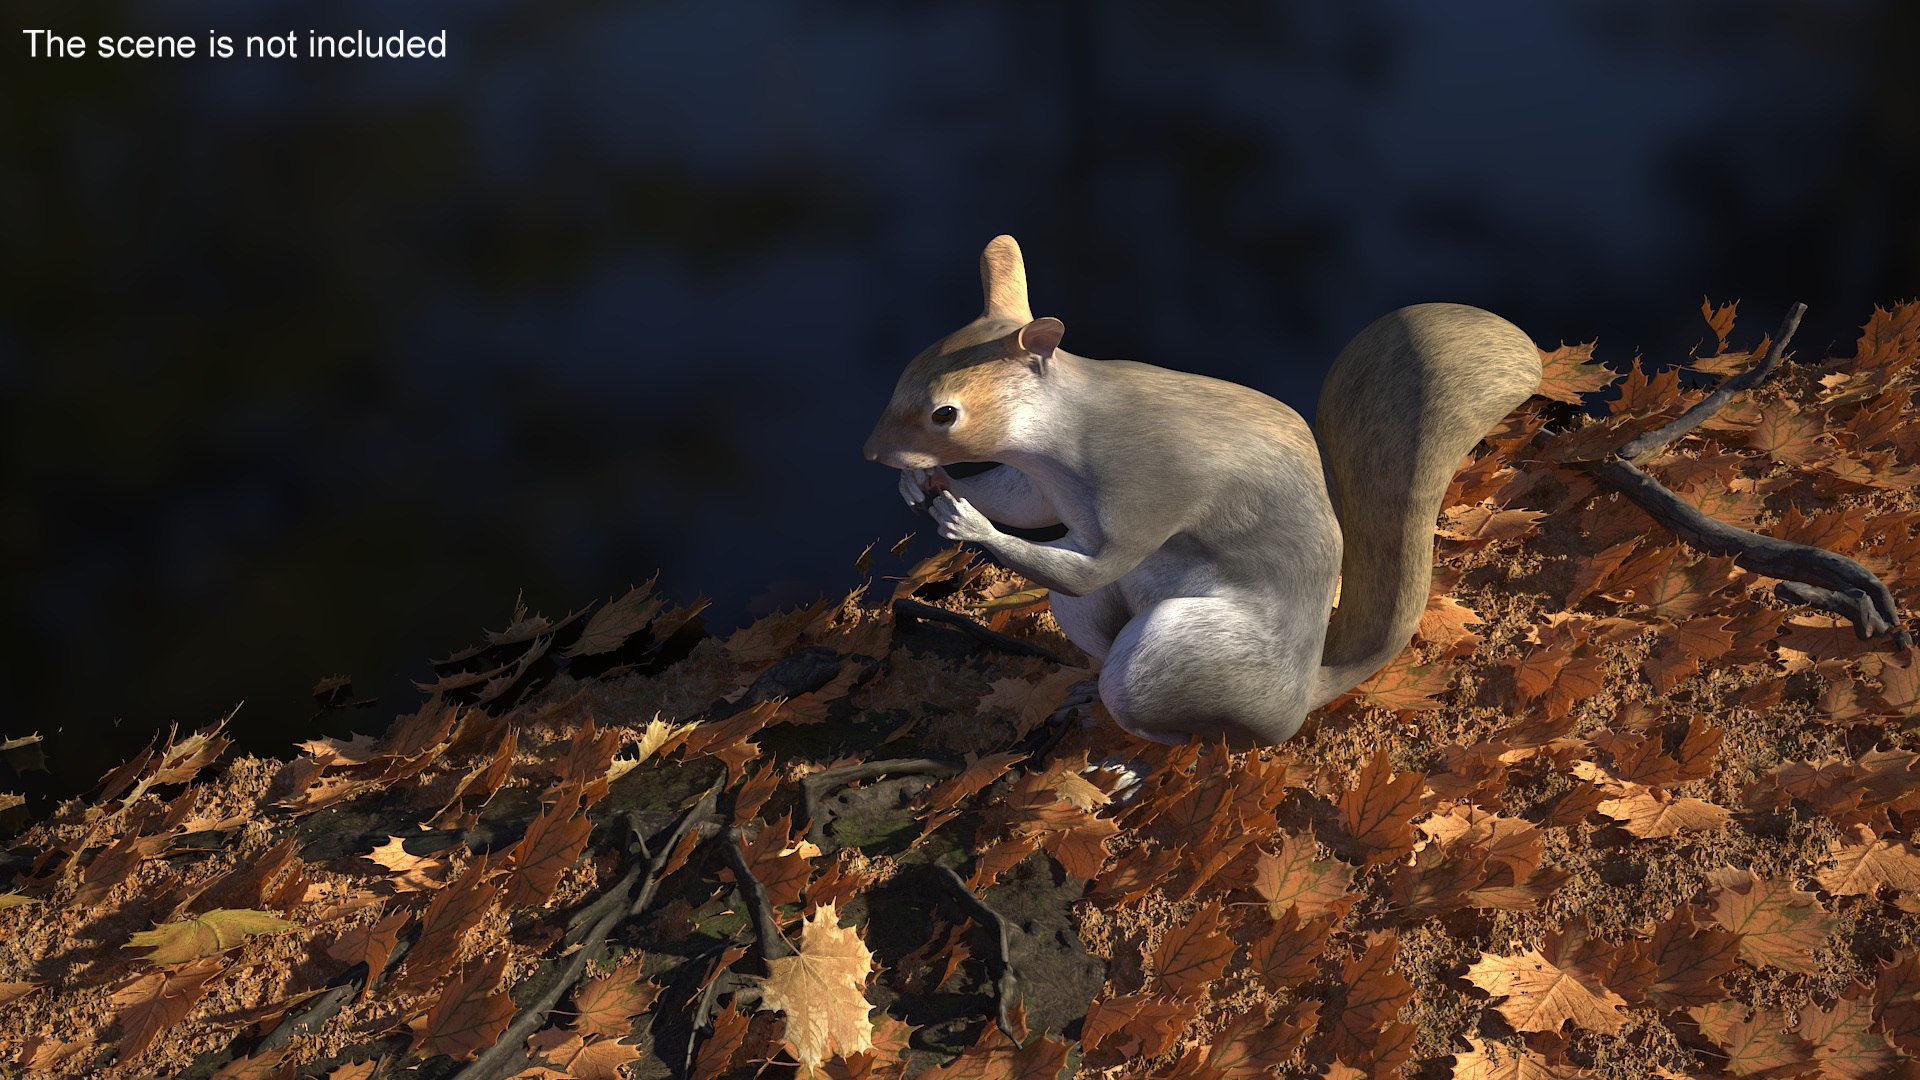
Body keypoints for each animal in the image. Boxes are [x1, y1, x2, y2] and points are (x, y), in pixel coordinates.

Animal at [862, 235, 1542, 746]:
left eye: (945, 414)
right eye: (903, 373)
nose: (870, 453)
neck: (1066, 429)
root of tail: (1300, 695)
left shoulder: (1147, 487)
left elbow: (1092, 562)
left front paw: (965, 520)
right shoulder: (1040, 488)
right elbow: (1024, 504)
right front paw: (922, 484)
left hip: (1178, 657)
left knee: (1189, 727)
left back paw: (1132, 755)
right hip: (1105, 620)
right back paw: (1083, 691)